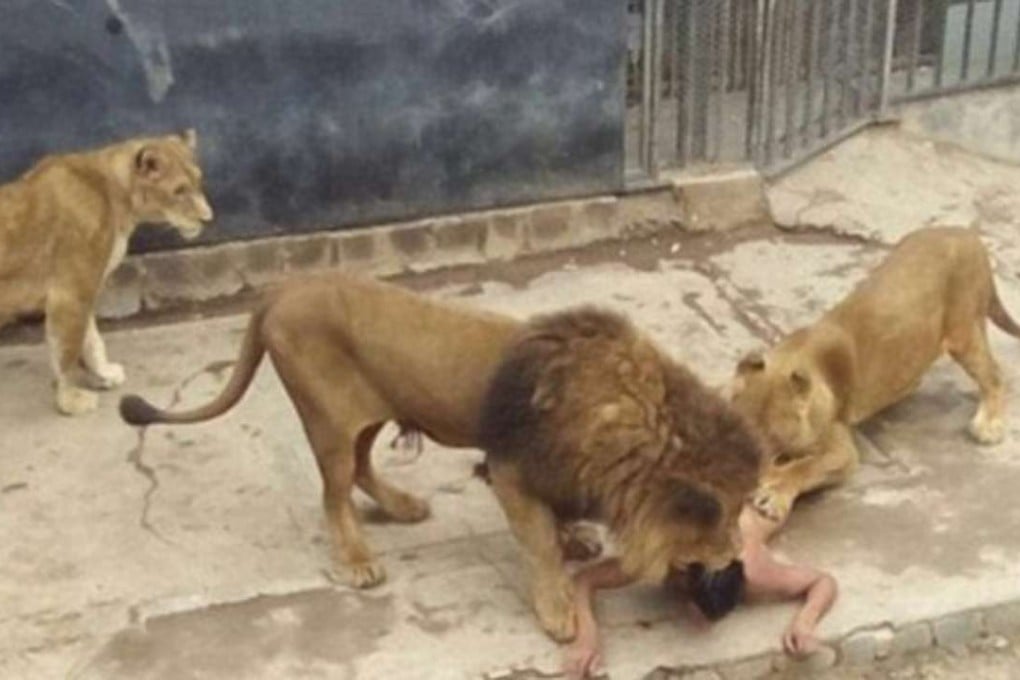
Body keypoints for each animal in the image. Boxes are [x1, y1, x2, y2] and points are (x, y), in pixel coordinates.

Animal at [0, 131, 213, 415]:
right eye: (179, 191)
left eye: (199, 182)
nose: (208, 218)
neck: (118, 197)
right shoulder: (70, 292)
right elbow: (67, 351)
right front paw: (71, 400)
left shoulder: (85, 287)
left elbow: (91, 340)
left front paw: (104, 374)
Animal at [477, 307, 763, 641]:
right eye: (728, 516)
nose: (738, 551)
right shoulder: (510, 467)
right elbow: (541, 541)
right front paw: (558, 610)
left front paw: (575, 539)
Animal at [731, 227, 1020, 523]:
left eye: (774, 436)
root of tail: (967, 234)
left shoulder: (842, 451)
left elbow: (805, 467)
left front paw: (774, 494)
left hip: (963, 332)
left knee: (994, 375)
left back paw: (989, 425)